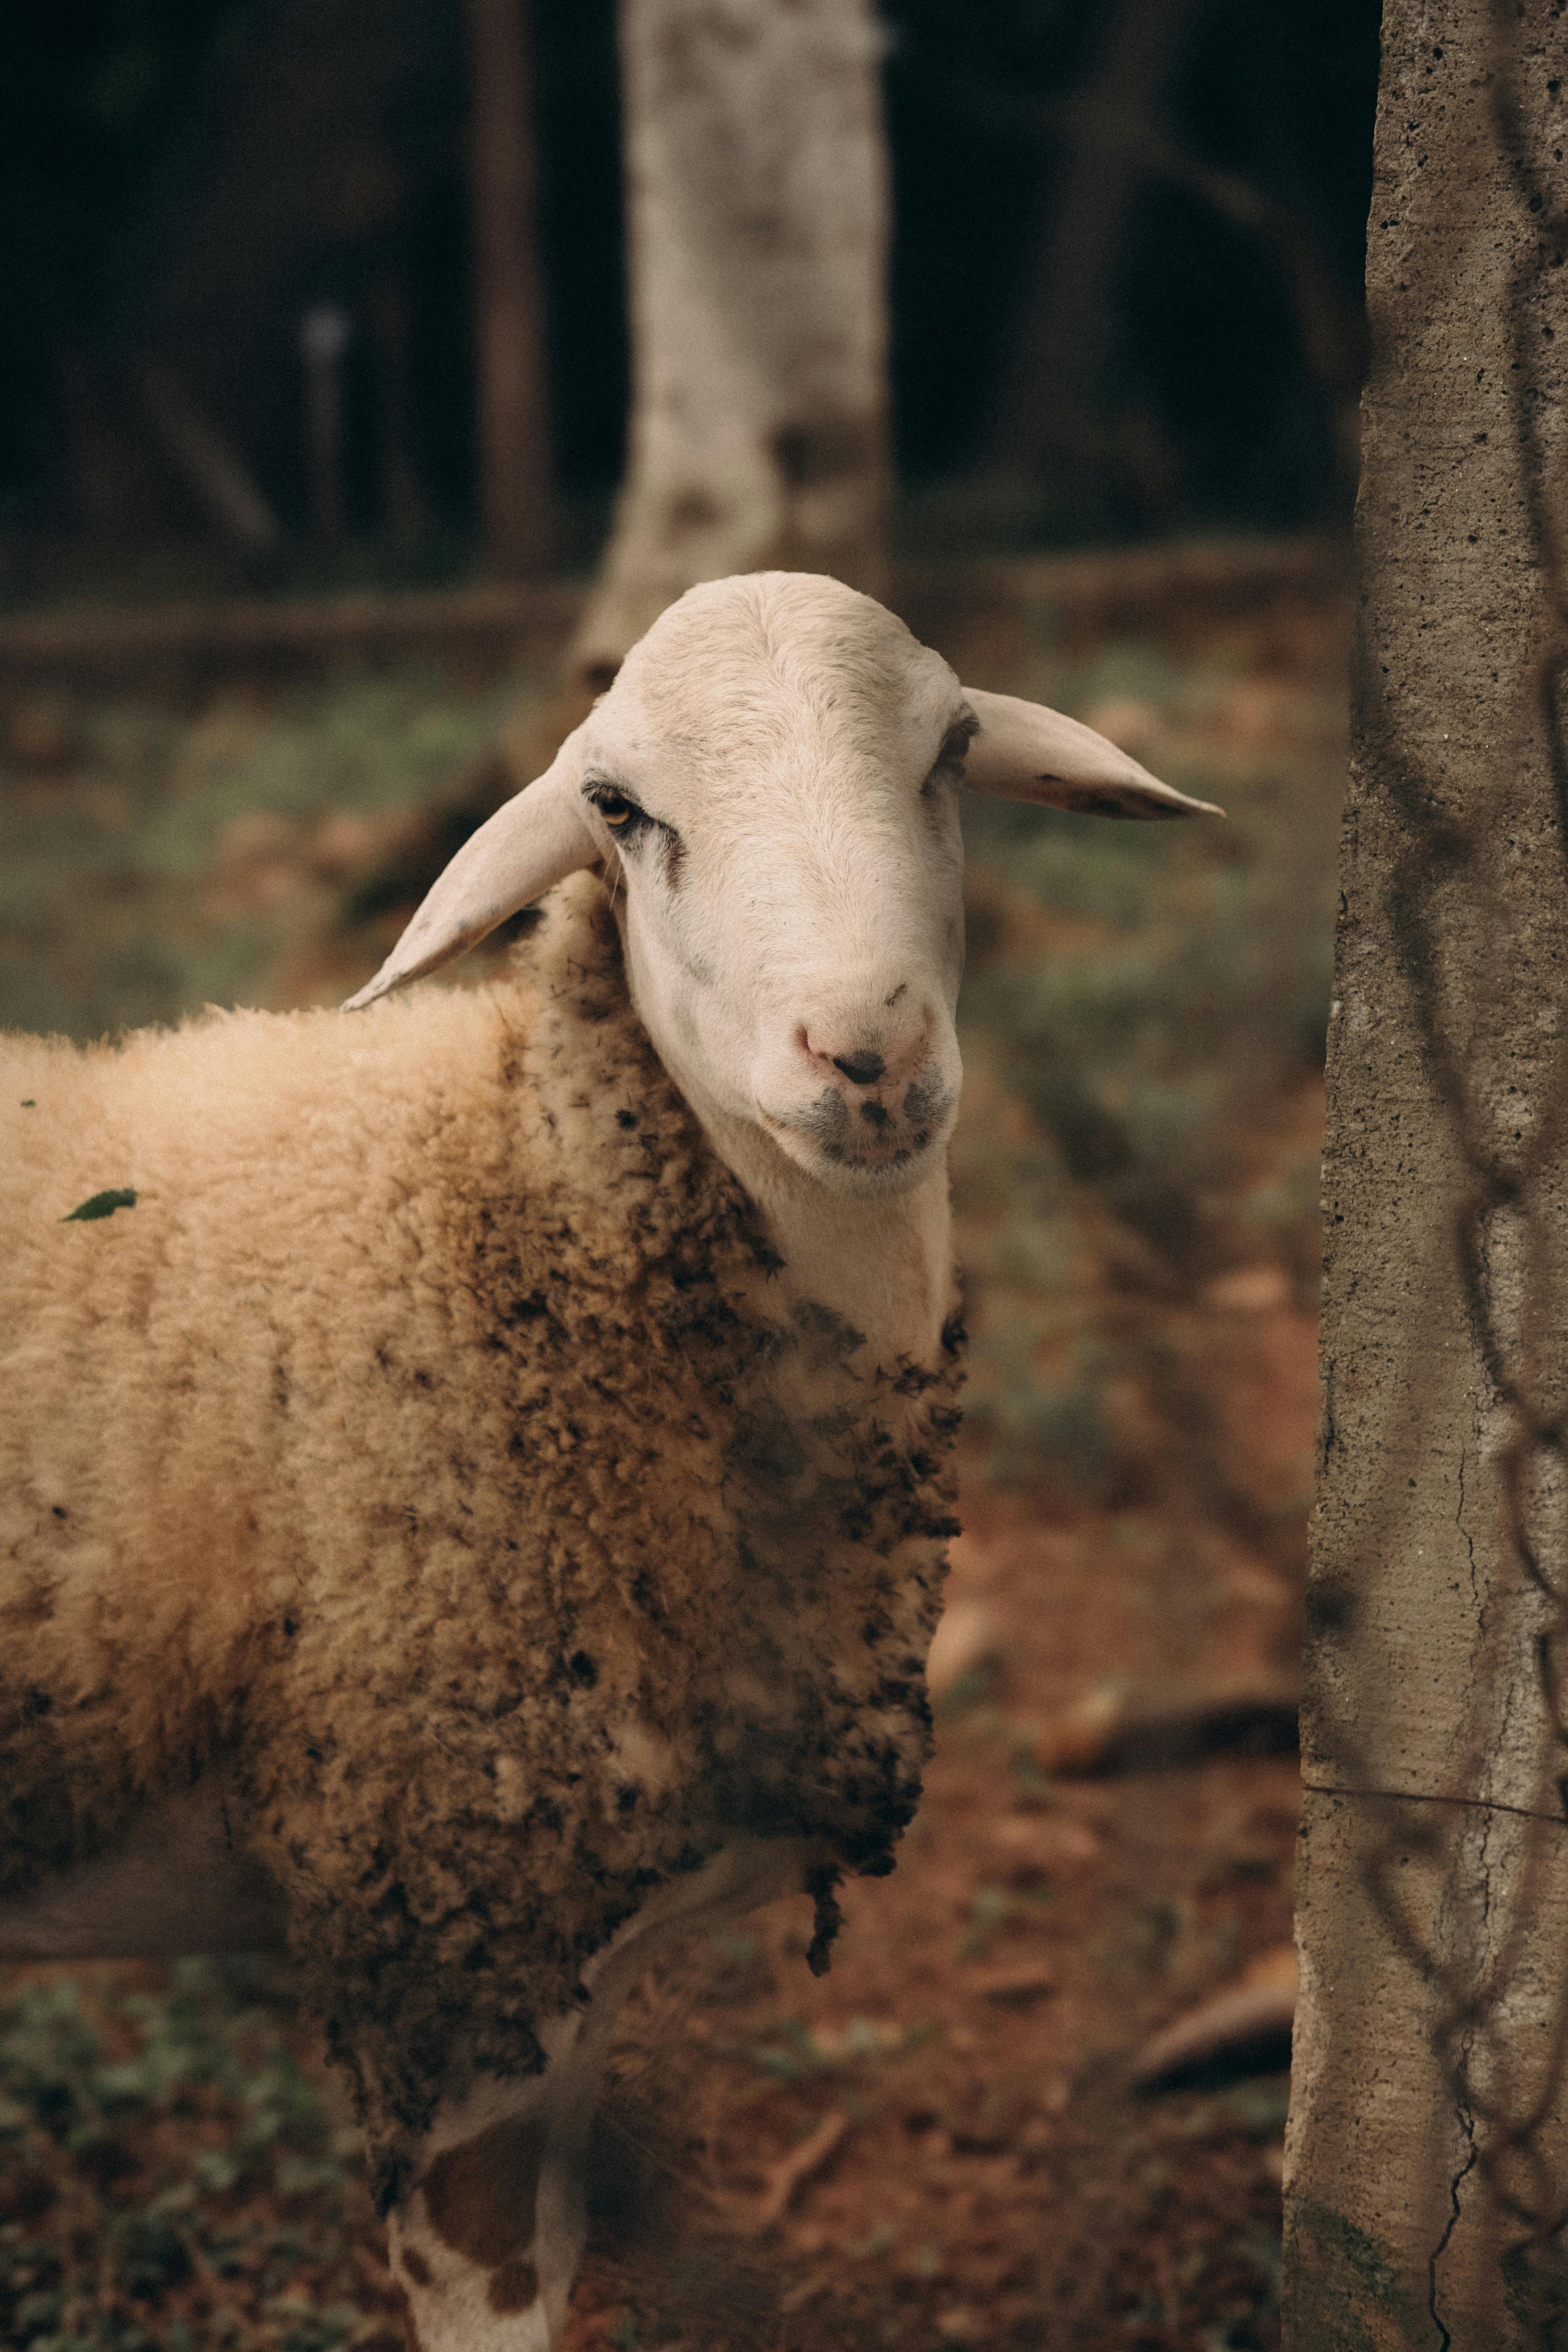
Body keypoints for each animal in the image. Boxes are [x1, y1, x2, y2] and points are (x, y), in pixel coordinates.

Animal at [1, 572, 1217, 2351]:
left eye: (950, 750)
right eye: (620, 811)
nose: (865, 1054)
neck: (509, 1195)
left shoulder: (569, 1963)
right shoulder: (450, 1927)